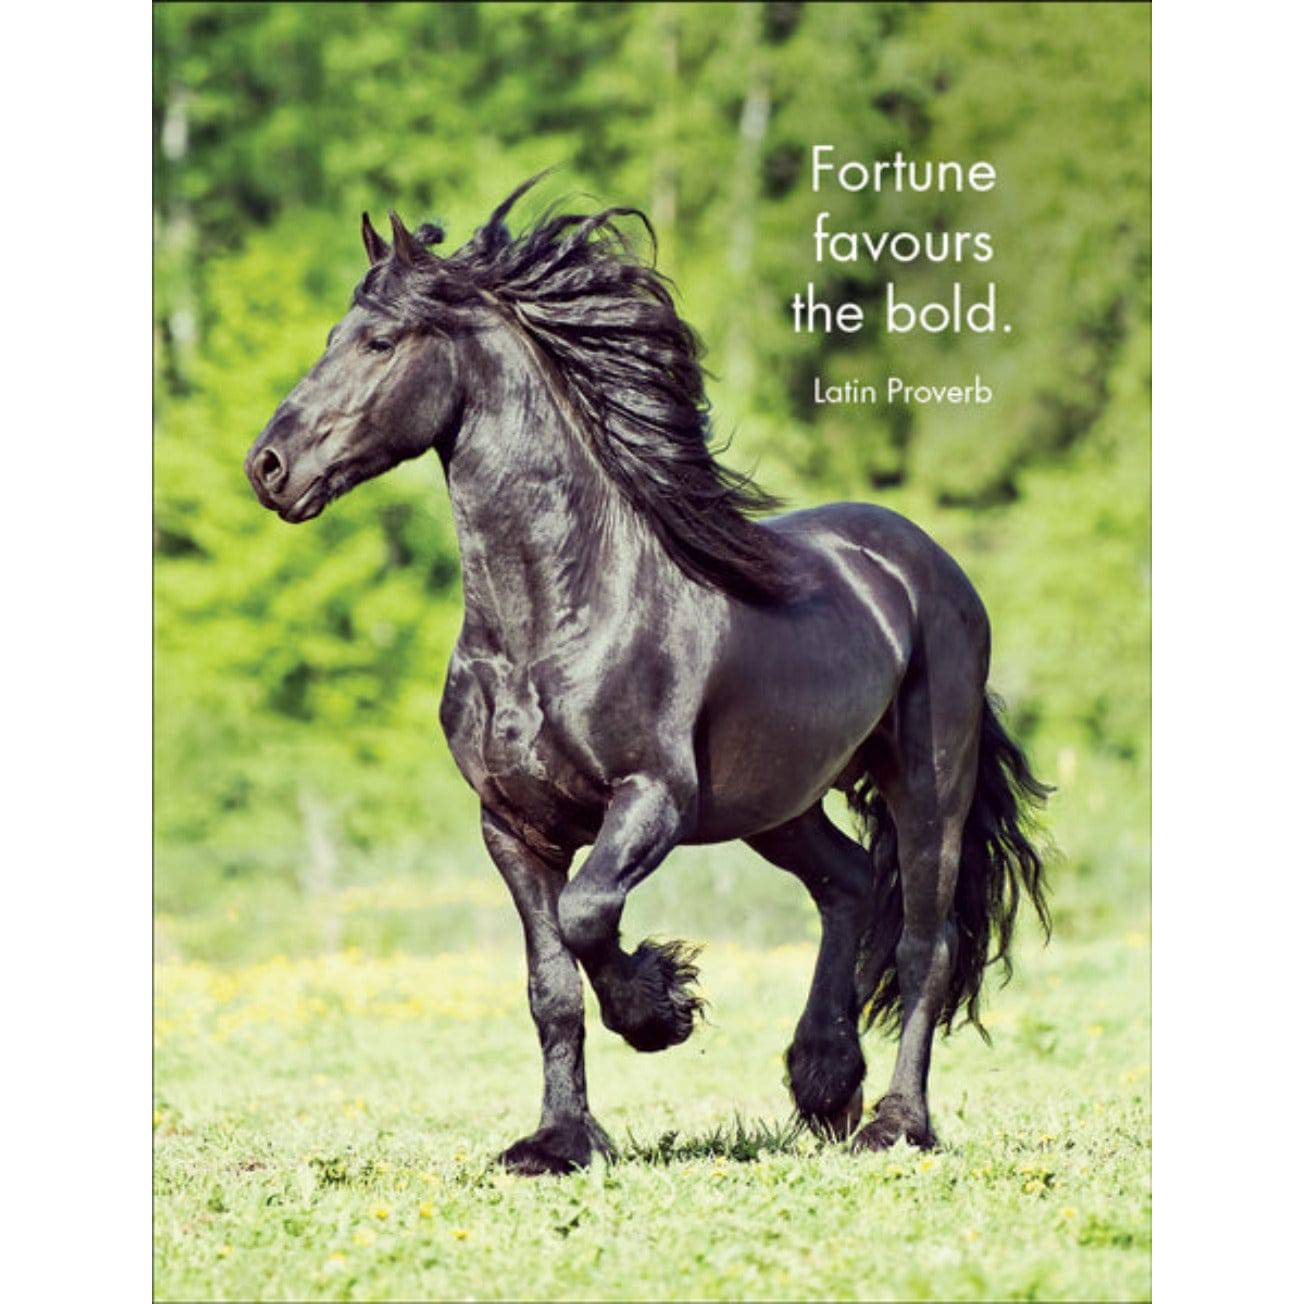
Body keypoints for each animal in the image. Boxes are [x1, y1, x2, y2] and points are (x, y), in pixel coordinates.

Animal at [245, 175, 1051, 1176]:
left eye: (379, 342)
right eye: (332, 336)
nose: (269, 468)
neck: (554, 621)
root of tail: (928, 564)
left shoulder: (652, 799)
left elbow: (590, 915)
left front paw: (660, 1010)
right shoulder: (510, 826)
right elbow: (550, 986)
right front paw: (556, 1141)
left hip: (927, 784)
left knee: (923, 944)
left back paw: (894, 1123)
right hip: (777, 801)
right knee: (849, 883)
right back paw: (823, 1080)